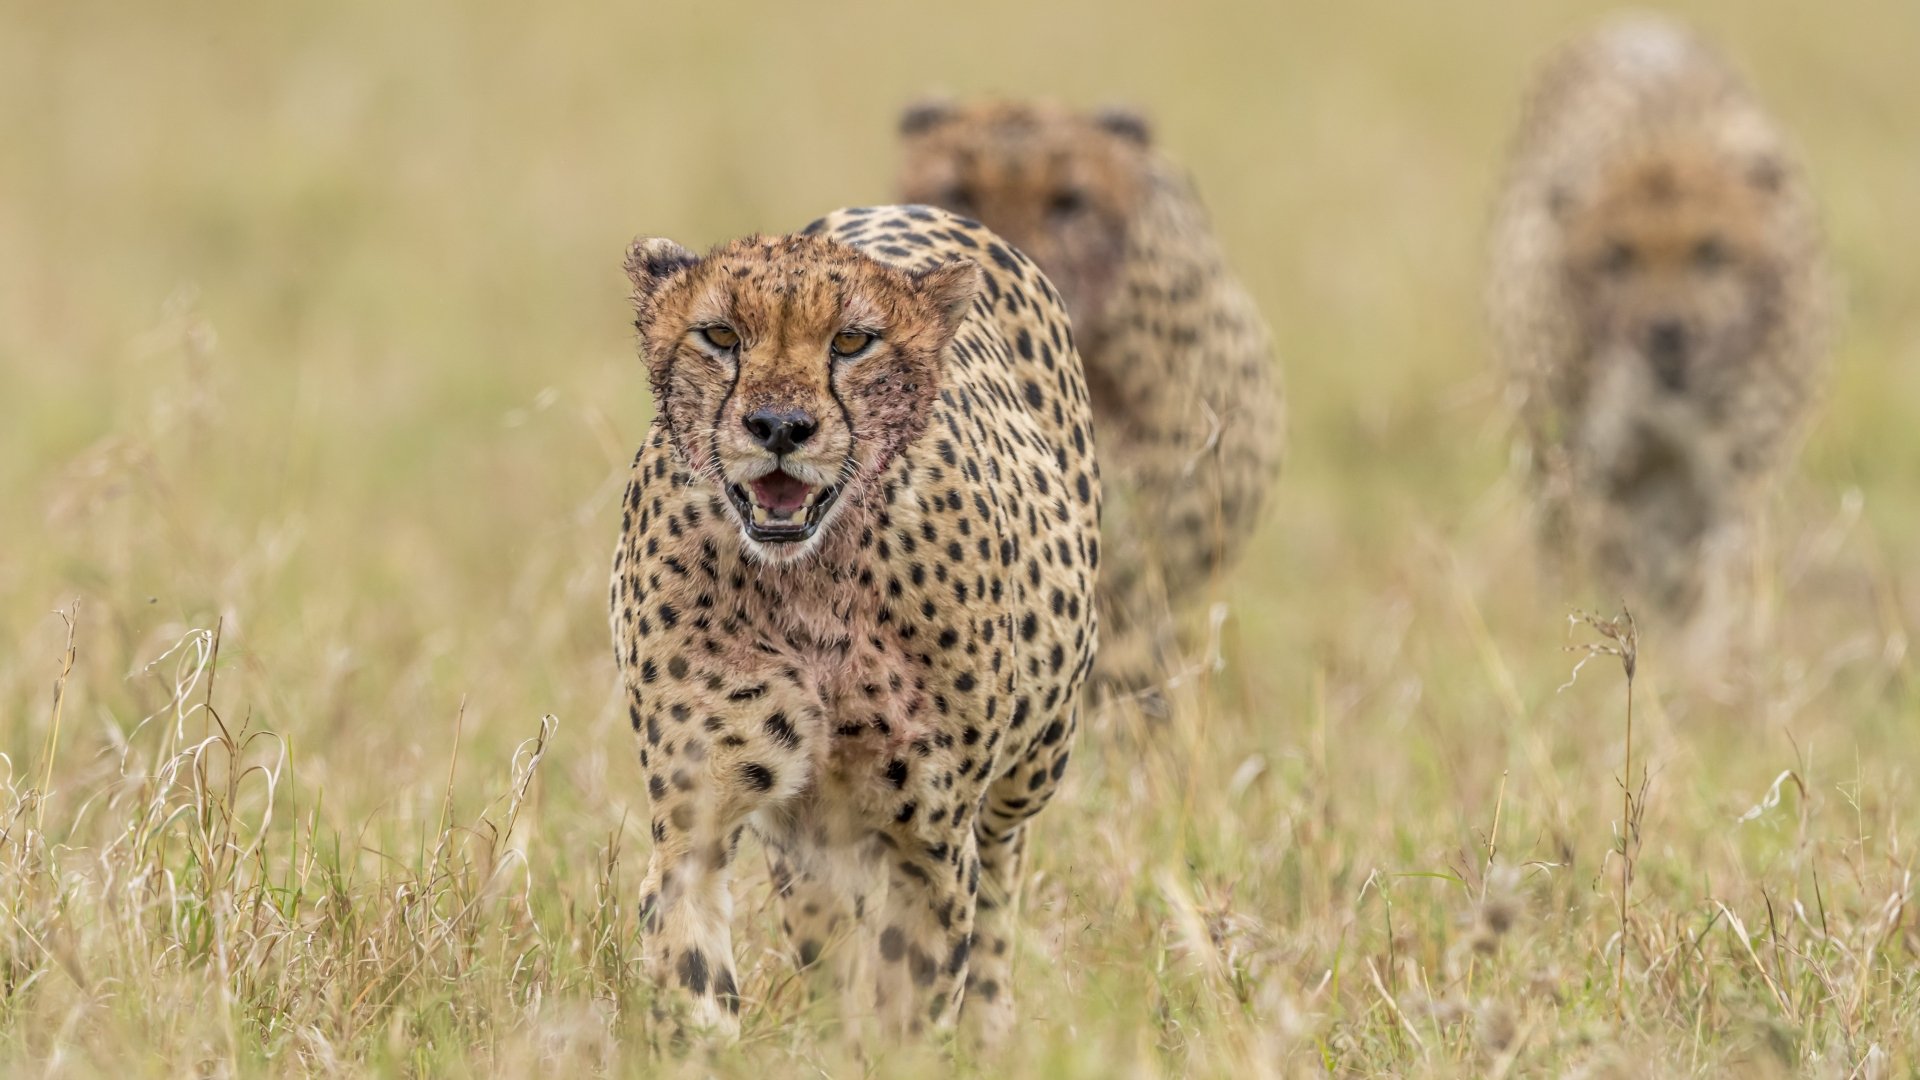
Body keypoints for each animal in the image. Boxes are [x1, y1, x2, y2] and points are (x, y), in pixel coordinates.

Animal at [610, 204, 1099, 1047]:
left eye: (851, 341)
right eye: (720, 335)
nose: (779, 426)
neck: (810, 581)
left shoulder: (930, 843)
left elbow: (918, 996)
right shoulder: (694, 820)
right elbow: (695, 975)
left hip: (1031, 766)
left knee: (1000, 884)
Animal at [1487, 15, 1831, 671]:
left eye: (1712, 252)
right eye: (1616, 256)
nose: (1666, 334)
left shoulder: (1735, 471)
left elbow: (1715, 580)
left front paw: (1706, 670)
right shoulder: (1600, 464)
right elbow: (1616, 573)